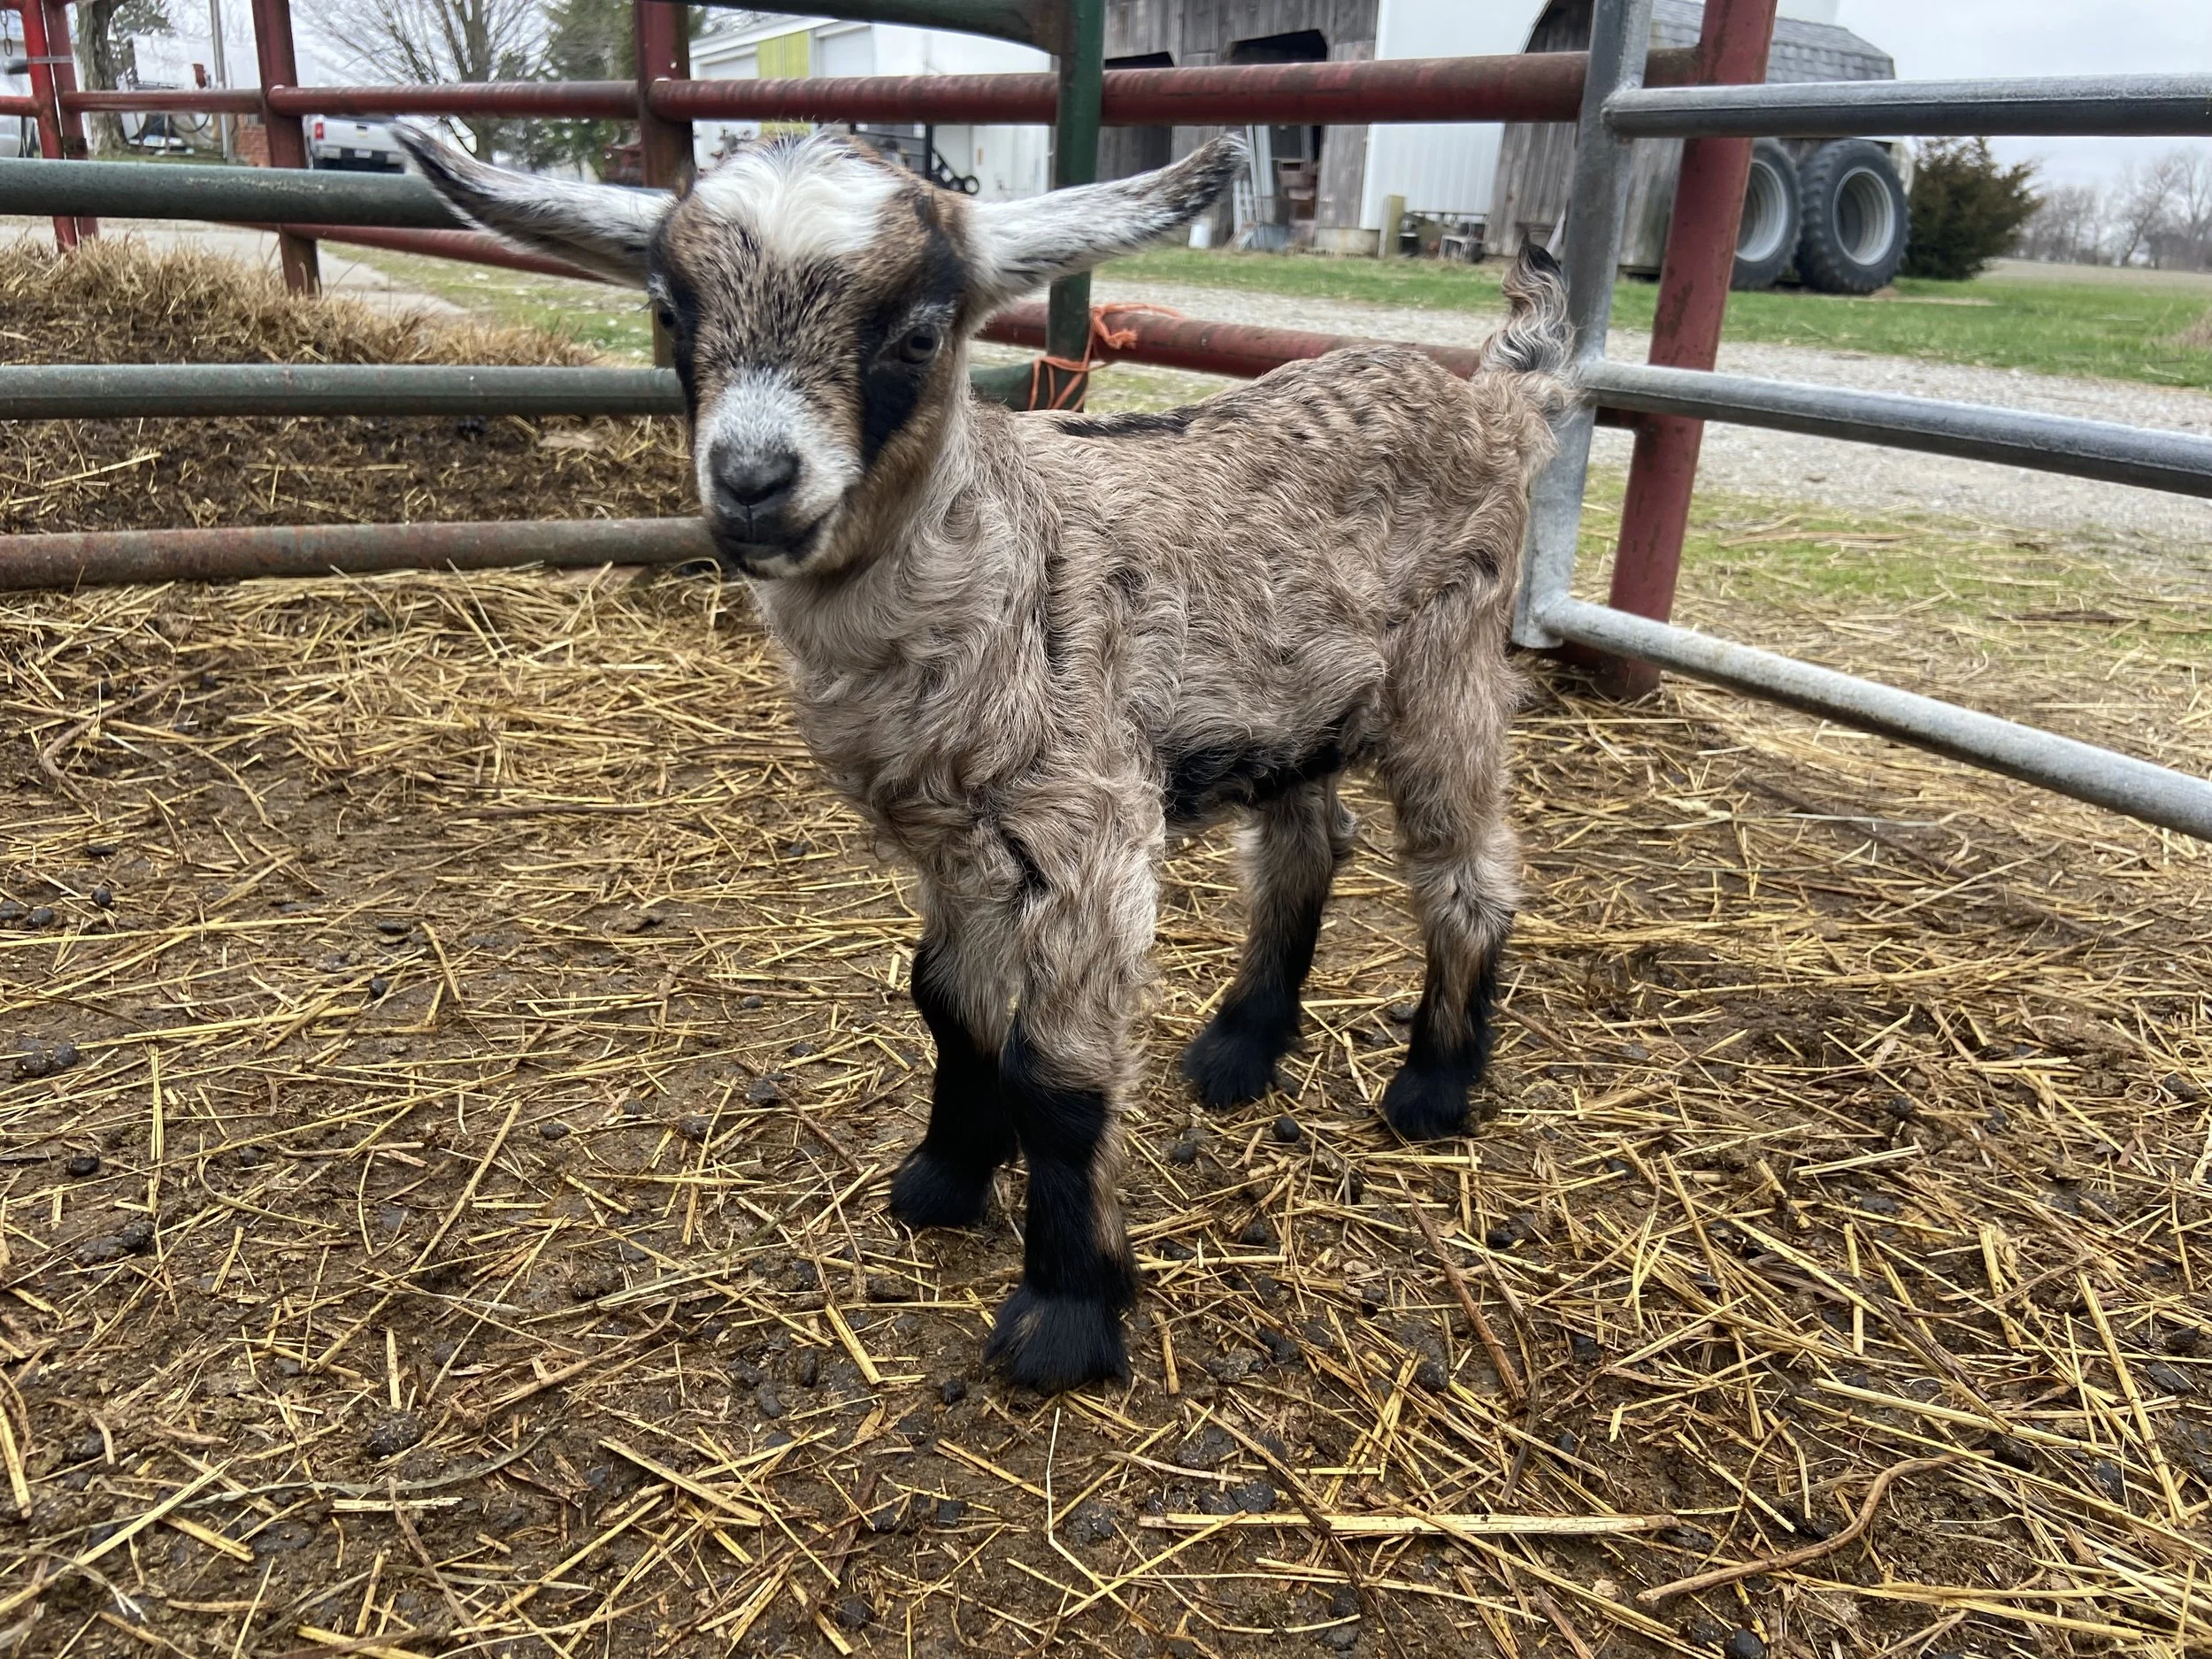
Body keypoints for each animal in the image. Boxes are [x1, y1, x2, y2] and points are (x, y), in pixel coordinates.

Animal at [399, 127, 1573, 1392]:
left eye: (918, 332)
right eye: (669, 313)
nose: (753, 481)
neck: (1001, 558)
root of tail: (1490, 398)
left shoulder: (1090, 825)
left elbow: (1055, 1077)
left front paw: (1065, 1311)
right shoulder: (944, 835)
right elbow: (946, 1003)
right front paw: (944, 1177)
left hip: (1447, 666)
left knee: (1465, 867)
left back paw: (1435, 1085)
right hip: (1292, 700)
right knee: (1309, 839)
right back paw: (1240, 1047)